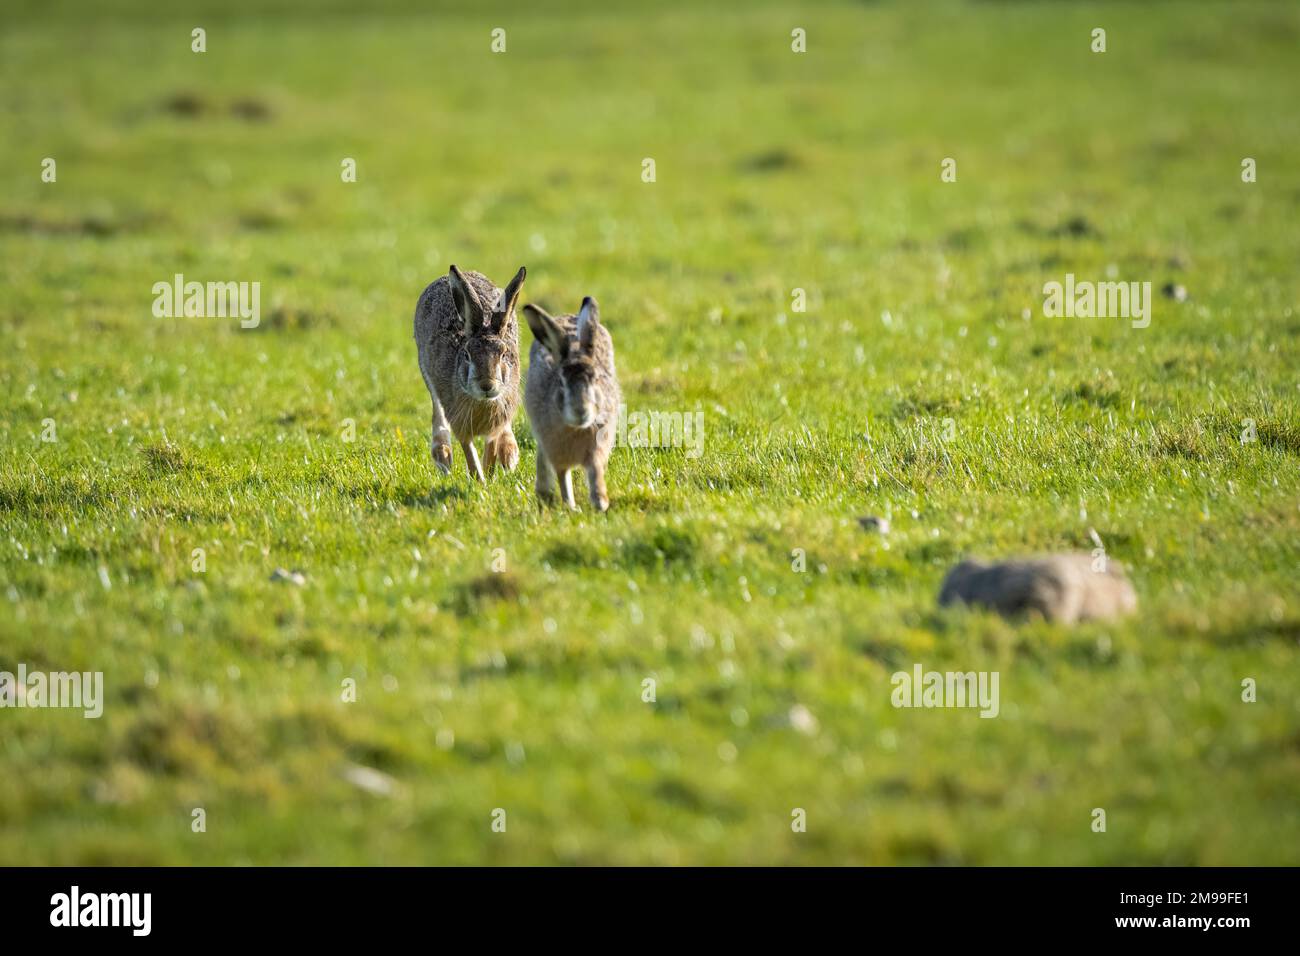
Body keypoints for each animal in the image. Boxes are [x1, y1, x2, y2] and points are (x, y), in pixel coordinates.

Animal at [413, 265, 526, 482]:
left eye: (504, 353)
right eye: (466, 354)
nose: (487, 385)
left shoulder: (498, 417)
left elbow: (491, 446)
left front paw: (489, 474)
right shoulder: (459, 419)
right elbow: (468, 449)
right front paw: (478, 479)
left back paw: (509, 454)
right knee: (437, 413)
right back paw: (442, 455)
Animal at [522, 296, 621, 512]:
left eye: (596, 379)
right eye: (561, 381)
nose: (580, 410)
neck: (576, 428)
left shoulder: (597, 448)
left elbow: (595, 470)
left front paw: (600, 501)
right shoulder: (556, 452)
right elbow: (562, 477)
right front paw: (571, 507)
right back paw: (544, 493)